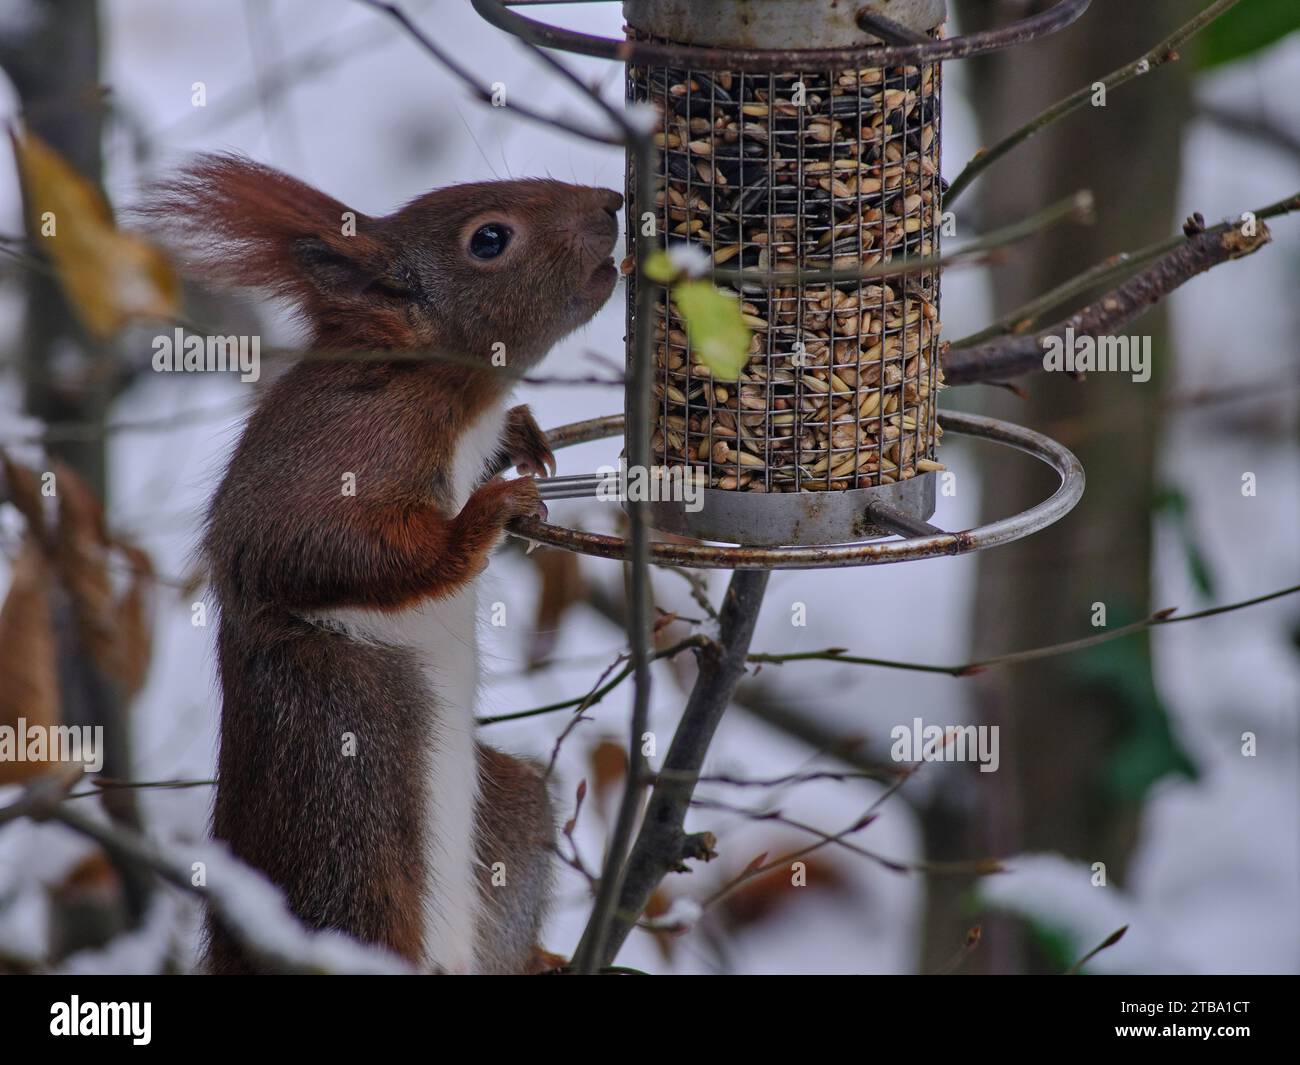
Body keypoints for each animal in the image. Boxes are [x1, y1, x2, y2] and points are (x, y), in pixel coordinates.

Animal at [144, 154, 621, 973]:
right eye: (489, 239)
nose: (614, 202)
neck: (443, 386)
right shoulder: (350, 445)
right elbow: (315, 546)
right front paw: (484, 517)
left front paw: (522, 433)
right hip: (352, 809)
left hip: (508, 808)